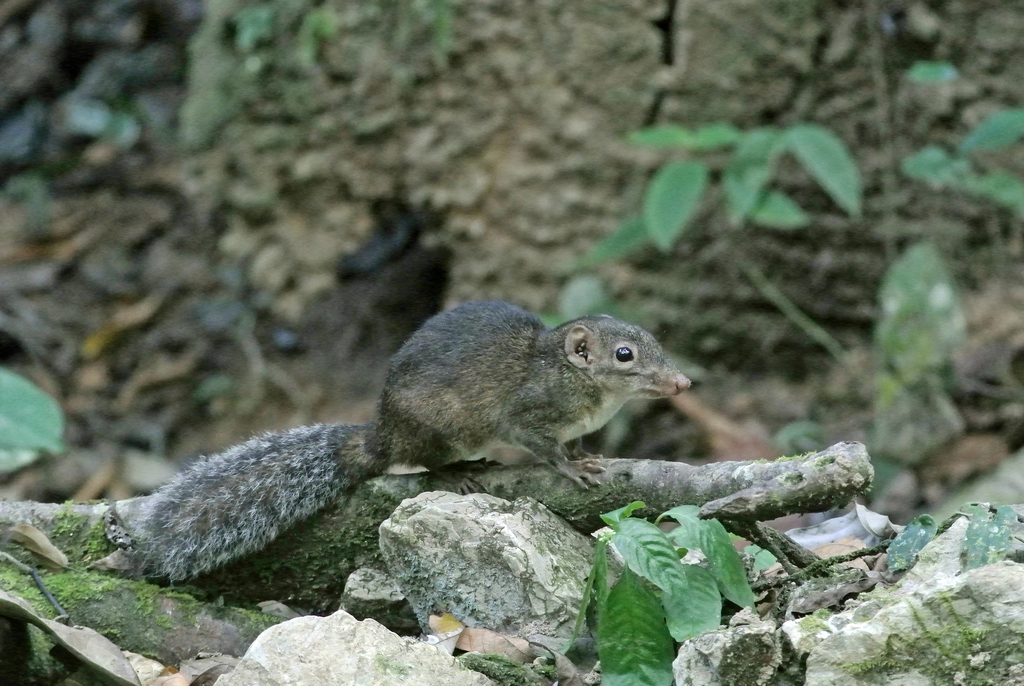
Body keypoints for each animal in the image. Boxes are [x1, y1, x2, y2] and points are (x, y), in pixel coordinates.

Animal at [131, 301, 690, 580]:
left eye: (654, 340)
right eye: (624, 354)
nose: (683, 382)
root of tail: (380, 437)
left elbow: (573, 445)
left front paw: (588, 456)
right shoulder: (527, 417)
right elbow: (547, 450)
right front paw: (571, 469)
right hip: (437, 431)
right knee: (421, 465)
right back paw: (460, 471)